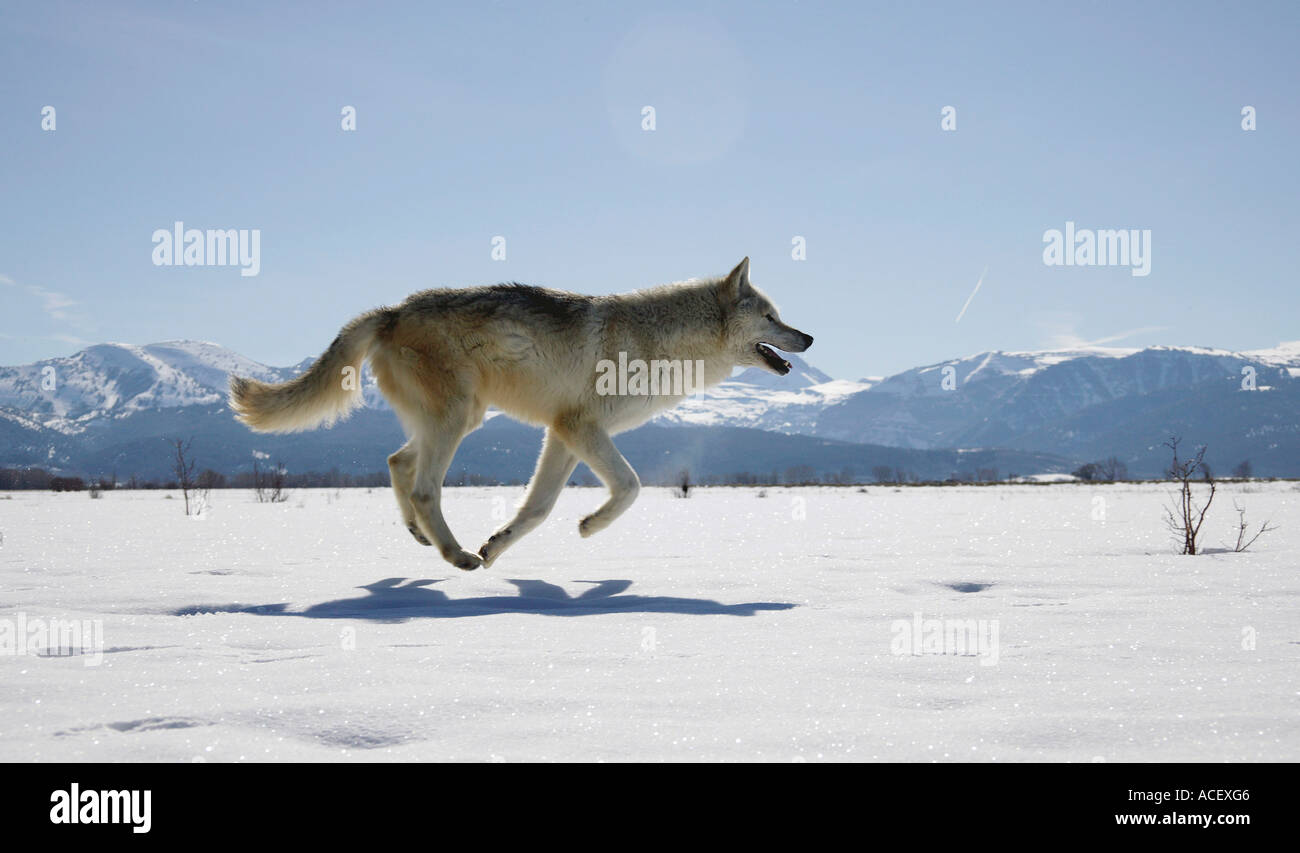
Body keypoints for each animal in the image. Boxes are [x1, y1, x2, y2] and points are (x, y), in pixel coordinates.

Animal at [229, 258, 812, 570]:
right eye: (771, 317)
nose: (808, 337)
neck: (663, 345)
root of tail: (392, 310)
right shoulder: (580, 428)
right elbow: (630, 487)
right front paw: (590, 526)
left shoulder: (564, 434)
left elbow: (537, 510)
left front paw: (499, 547)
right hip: (455, 421)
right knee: (423, 488)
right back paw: (454, 555)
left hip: (461, 419)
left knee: (397, 462)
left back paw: (426, 538)